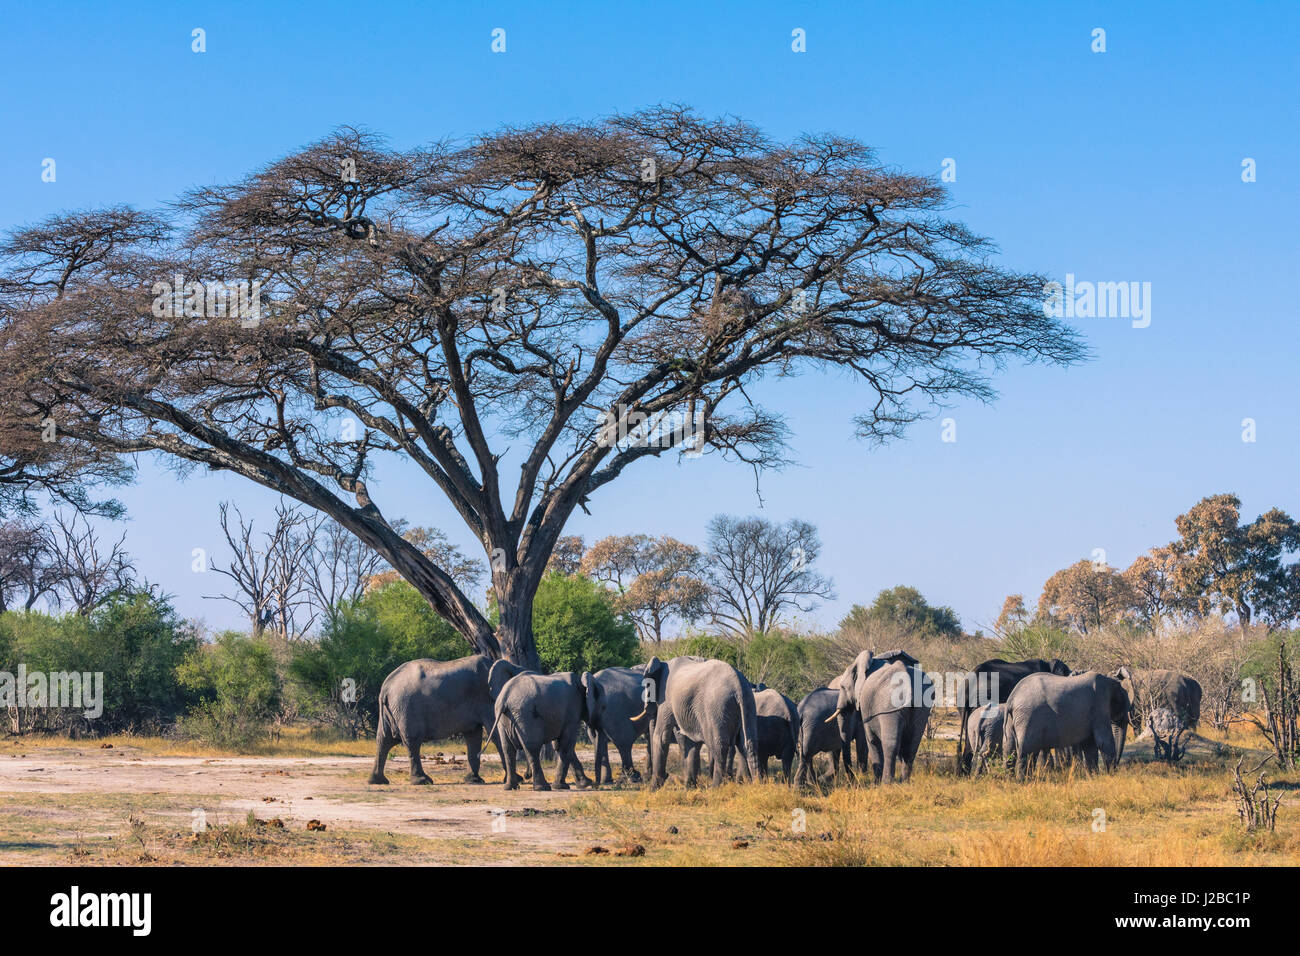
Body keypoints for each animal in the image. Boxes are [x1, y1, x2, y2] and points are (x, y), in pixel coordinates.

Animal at [370, 655, 525, 785]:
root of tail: (385, 687)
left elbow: (473, 736)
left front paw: (474, 781)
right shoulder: (487, 698)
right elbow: (497, 734)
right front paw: (518, 779)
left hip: (392, 710)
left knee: (384, 740)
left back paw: (378, 781)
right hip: (406, 707)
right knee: (412, 740)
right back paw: (423, 781)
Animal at [635, 655, 759, 789]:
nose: (667, 775)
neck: (664, 663)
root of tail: (738, 686)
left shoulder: (666, 698)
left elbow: (661, 736)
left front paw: (653, 788)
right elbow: (690, 742)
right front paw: (689, 787)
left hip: (717, 708)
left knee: (719, 746)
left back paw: (715, 787)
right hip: (749, 703)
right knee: (748, 743)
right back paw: (755, 784)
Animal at [830, 650, 933, 784]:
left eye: (842, 687)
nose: (852, 780)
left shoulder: (866, 706)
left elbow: (871, 739)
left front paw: (876, 782)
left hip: (889, 704)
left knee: (890, 744)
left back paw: (886, 783)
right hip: (922, 705)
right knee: (912, 744)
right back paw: (904, 782)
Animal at [1002, 671, 1132, 779]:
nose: (1116, 768)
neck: (1111, 682)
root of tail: (1012, 698)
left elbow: (1089, 745)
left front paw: (1093, 776)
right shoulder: (1099, 706)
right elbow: (1103, 741)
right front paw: (1111, 776)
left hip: (1012, 720)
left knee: (1009, 750)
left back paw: (1011, 781)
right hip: (1028, 717)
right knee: (1027, 752)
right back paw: (1024, 781)